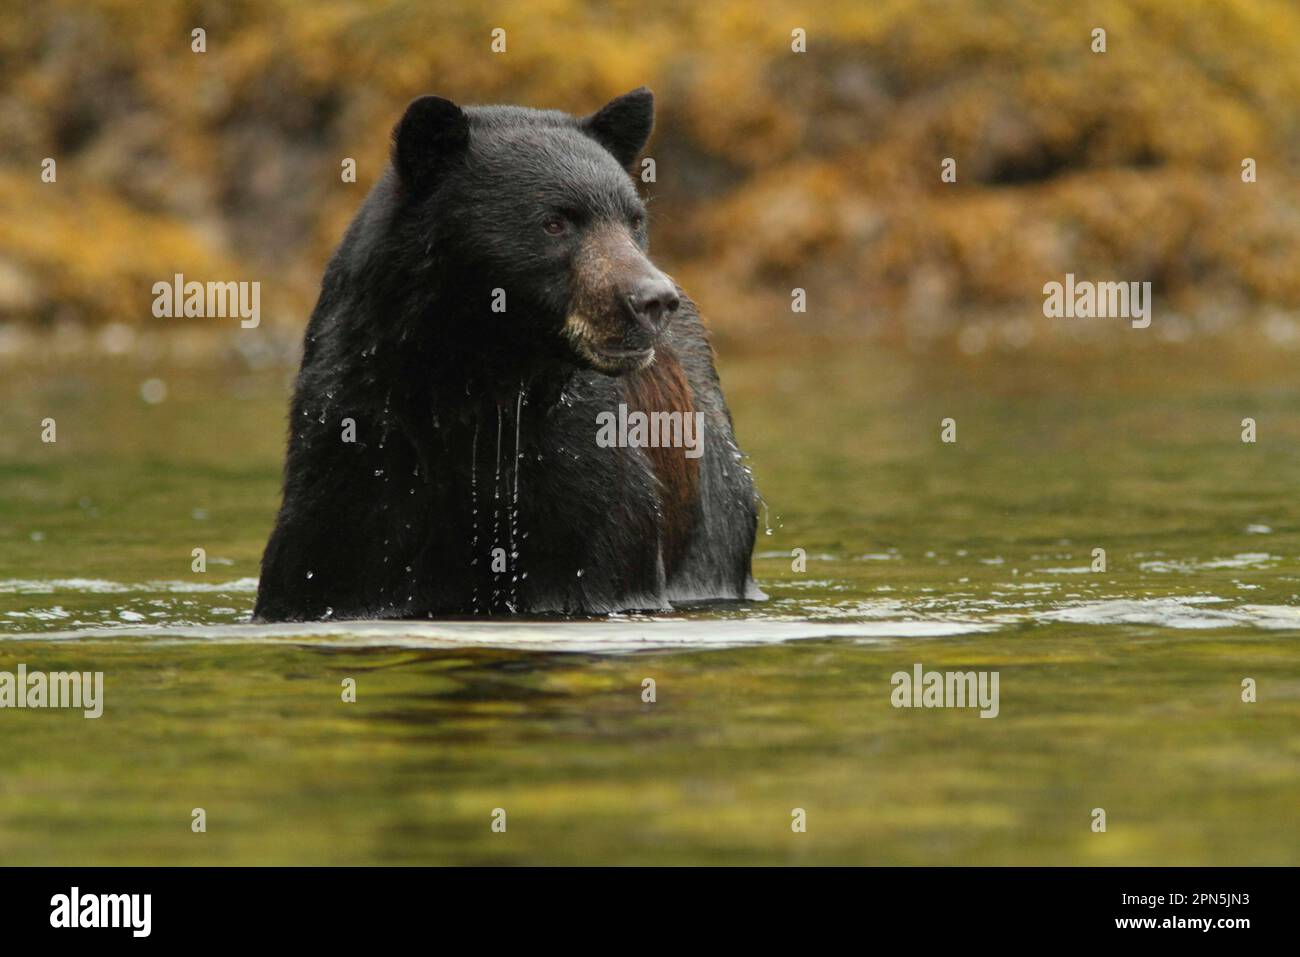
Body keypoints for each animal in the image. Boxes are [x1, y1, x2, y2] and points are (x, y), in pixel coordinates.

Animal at [253, 88, 761, 621]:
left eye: (634, 220)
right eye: (555, 222)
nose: (654, 300)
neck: (474, 375)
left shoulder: (583, 469)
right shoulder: (350, 448)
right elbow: (323, 564)